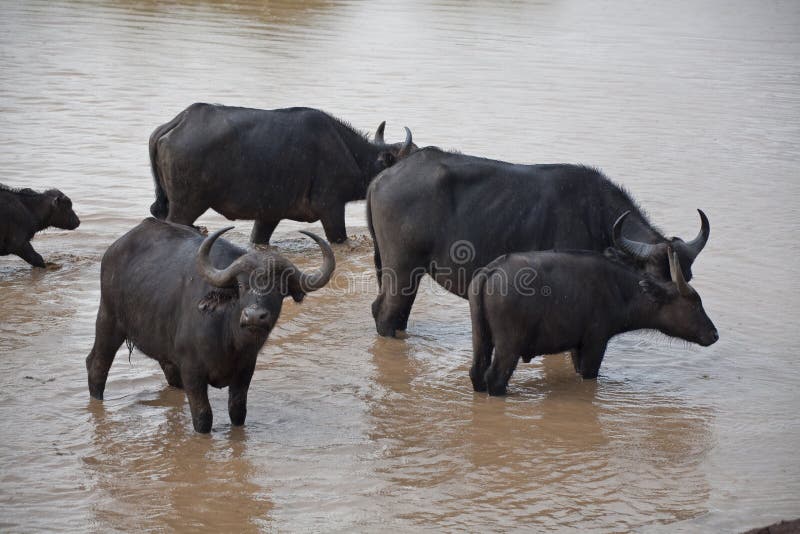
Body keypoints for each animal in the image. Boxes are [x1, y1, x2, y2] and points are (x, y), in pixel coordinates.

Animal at [85, 218, 335, 433]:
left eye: (280, 287)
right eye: (241, 285)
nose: (254, 316)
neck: (229, 338)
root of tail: (114, 249)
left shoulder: (245, 370)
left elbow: (238, 412)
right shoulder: (192, 372)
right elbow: (203, 417)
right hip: (108, 320)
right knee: (96, 365)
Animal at [367, 148, 710, 337]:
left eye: (686, 277)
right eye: (653, 279)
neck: (596, 218)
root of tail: (382, 178)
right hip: (403, 269)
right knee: (385, 312)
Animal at [468, 212, 718, 395]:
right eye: (695, 304)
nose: (714, 334)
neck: (620, 289)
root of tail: (490, 271)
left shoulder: (576, 346)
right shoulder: (595, 344)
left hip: (481, 338)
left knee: (476, 372)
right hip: (509, 346)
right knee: (495, 378)